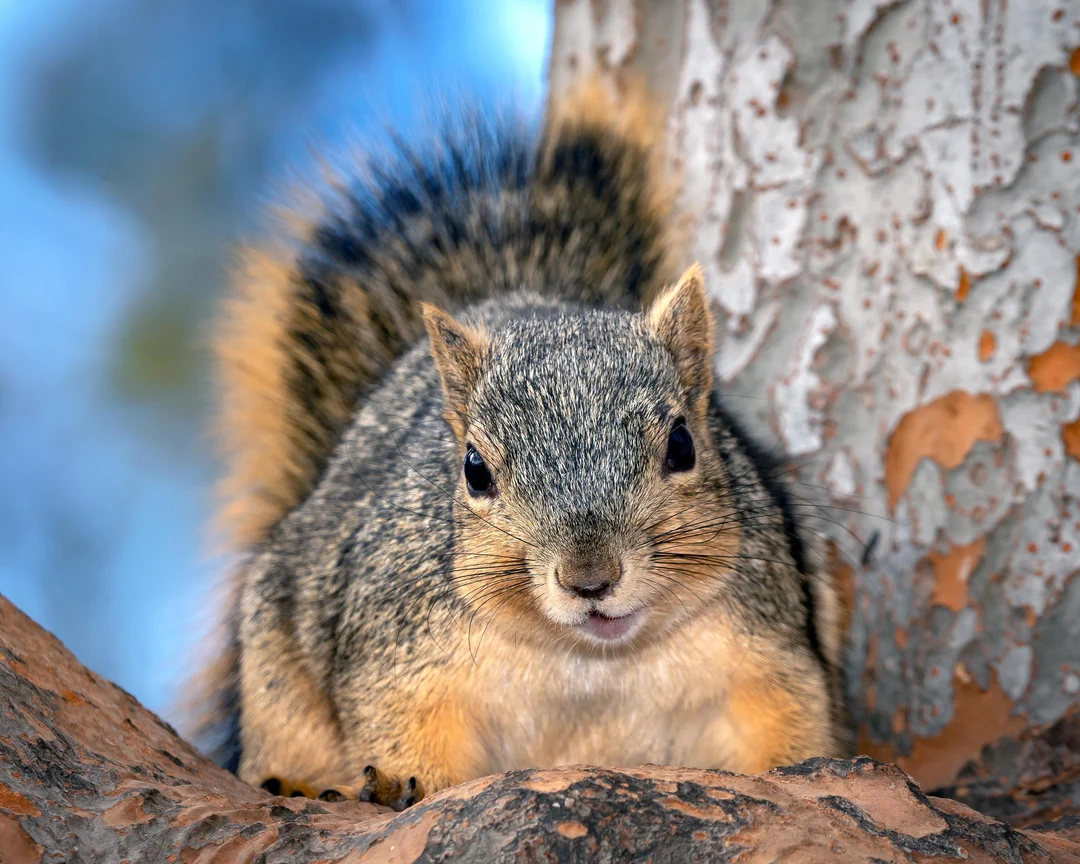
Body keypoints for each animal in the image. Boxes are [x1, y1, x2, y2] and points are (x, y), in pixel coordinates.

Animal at [190, 80, 853, 811]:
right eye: (475, 470)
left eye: (683, 445)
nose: (590, 578)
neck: (588, 662)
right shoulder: (395, 651)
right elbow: (399, 724)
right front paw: (395, 783)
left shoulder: (766, 649)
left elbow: (791, 719)